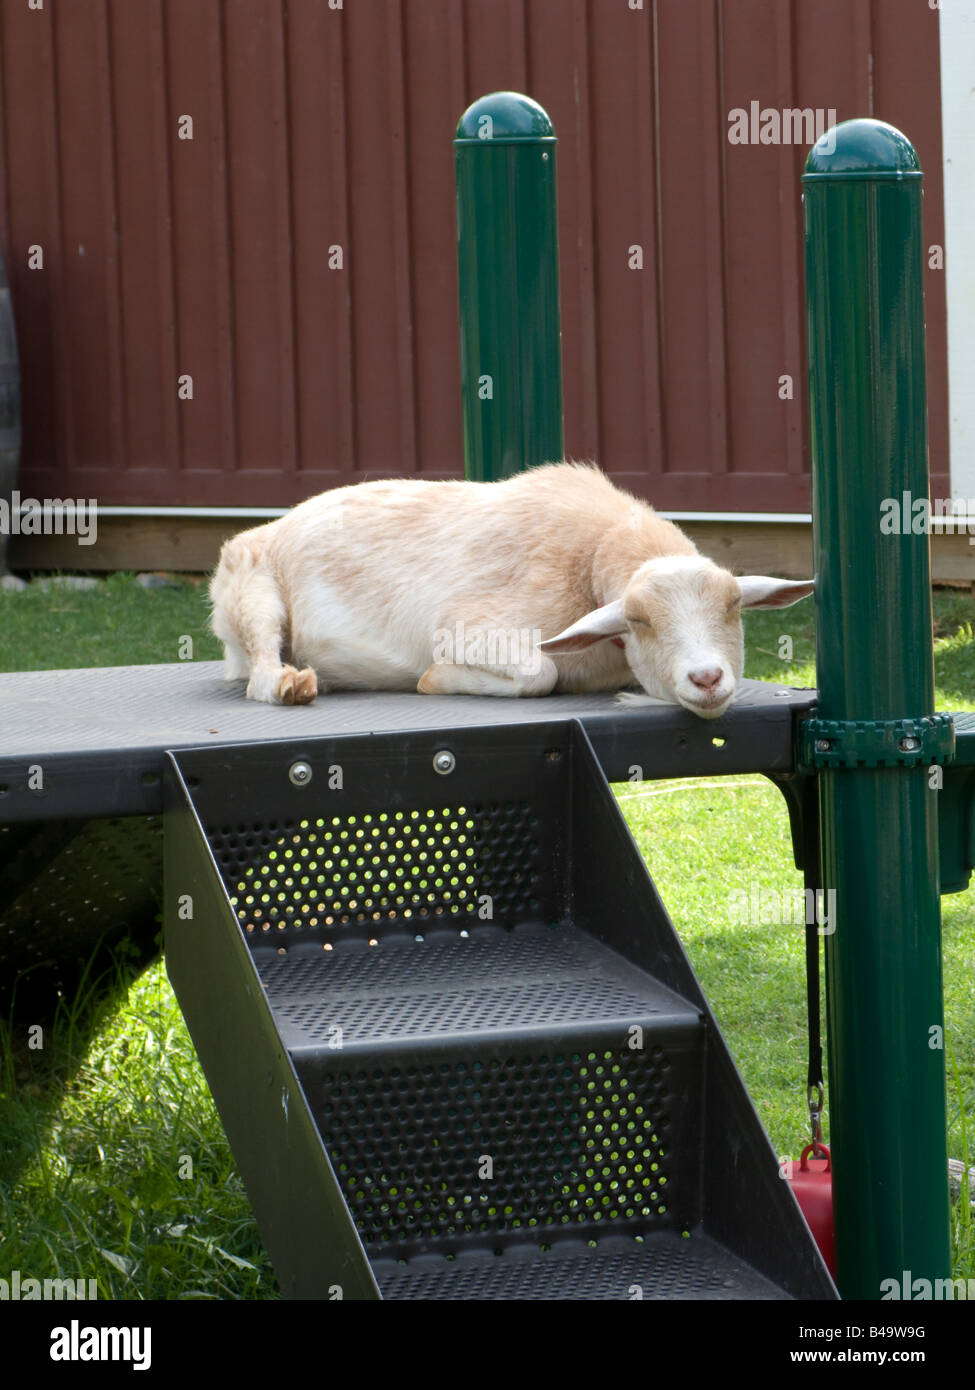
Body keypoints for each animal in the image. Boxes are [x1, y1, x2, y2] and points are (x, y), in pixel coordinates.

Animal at [209, 462, 813, 718]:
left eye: (734, 607)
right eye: (640, 620)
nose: (707, 678)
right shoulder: (471, 626)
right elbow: (537, 673)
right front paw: (433, 680)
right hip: (251, 591)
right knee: (261, 673)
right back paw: (292, 685)